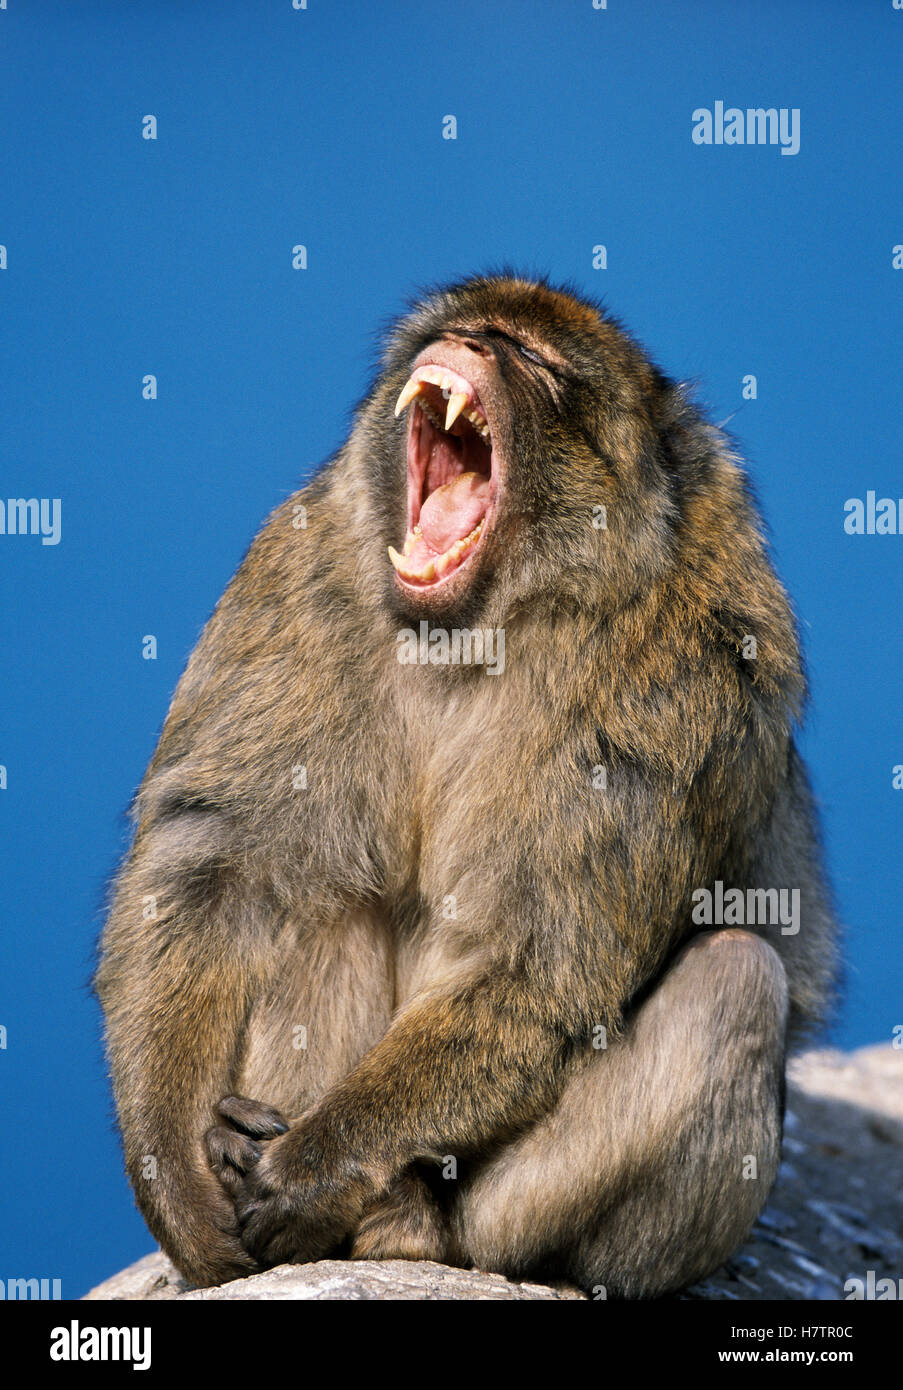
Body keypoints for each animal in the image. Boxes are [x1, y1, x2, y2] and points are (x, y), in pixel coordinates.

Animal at [95, 273, 838, 1297]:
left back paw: (419, 1224)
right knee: (323, 901)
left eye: (535, 360)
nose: (471, 343)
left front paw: (313, 1166)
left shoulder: (677, 685)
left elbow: (541, 964)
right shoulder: (294, 576)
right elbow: (211, 857)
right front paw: (173, 1175)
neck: (481, 622)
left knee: (735, 979)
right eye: (463, 324)